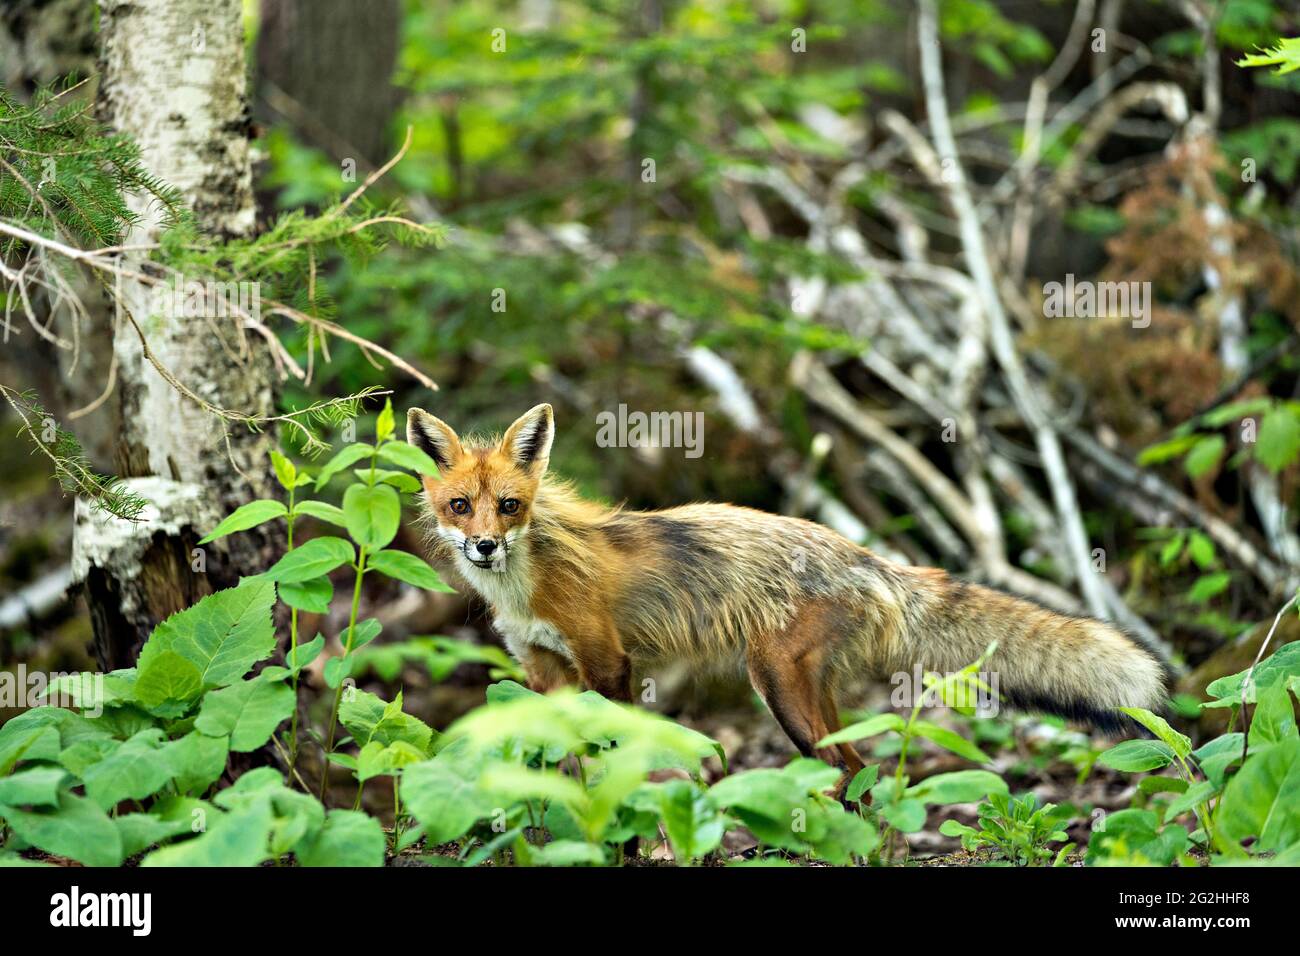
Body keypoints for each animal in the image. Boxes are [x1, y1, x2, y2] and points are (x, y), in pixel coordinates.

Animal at [407, 402, 1168, 778]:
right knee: (860, 773)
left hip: (777, 685)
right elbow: (565, 765)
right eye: (459, 507)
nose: (484, 546)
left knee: (850, 771)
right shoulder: (542, 669)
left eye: (509, 506)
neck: (529, 584)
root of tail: (869, 558)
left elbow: (619, 754)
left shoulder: (608, 664)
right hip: (811, 694)